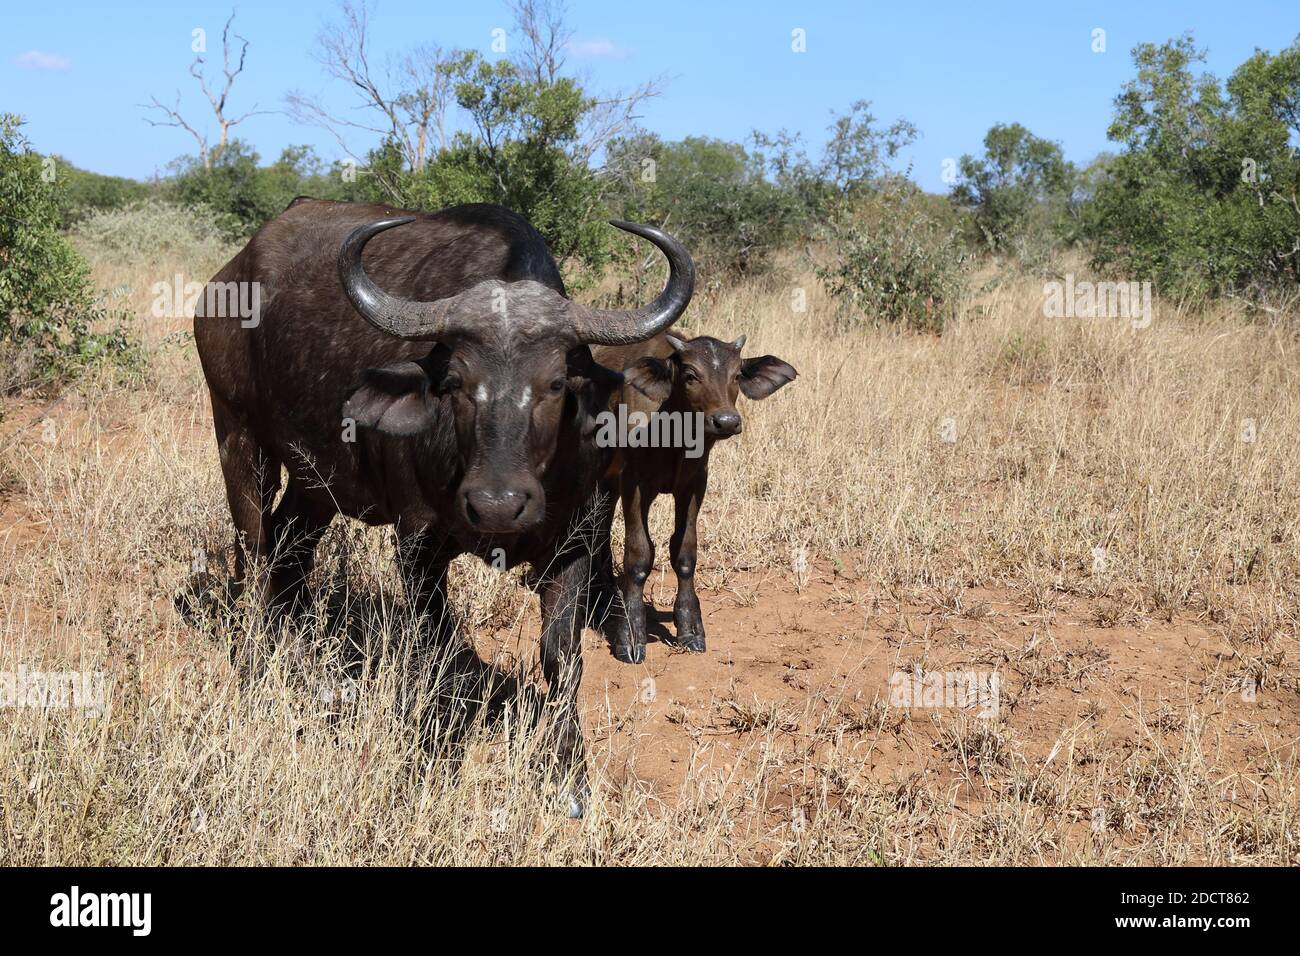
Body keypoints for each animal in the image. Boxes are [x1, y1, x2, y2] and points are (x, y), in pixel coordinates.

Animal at [193, 198, 695, 815]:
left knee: (291, 549)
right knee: (256, 553)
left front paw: (568, 775)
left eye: (556, 383)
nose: (498, 505)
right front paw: (427, 758)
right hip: (238, 437)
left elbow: (561, 659)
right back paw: (260, 665)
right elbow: (438, 655)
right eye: (455, 382)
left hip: (315, 481)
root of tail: (227, 278)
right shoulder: (418, 546)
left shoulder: (574, 547)